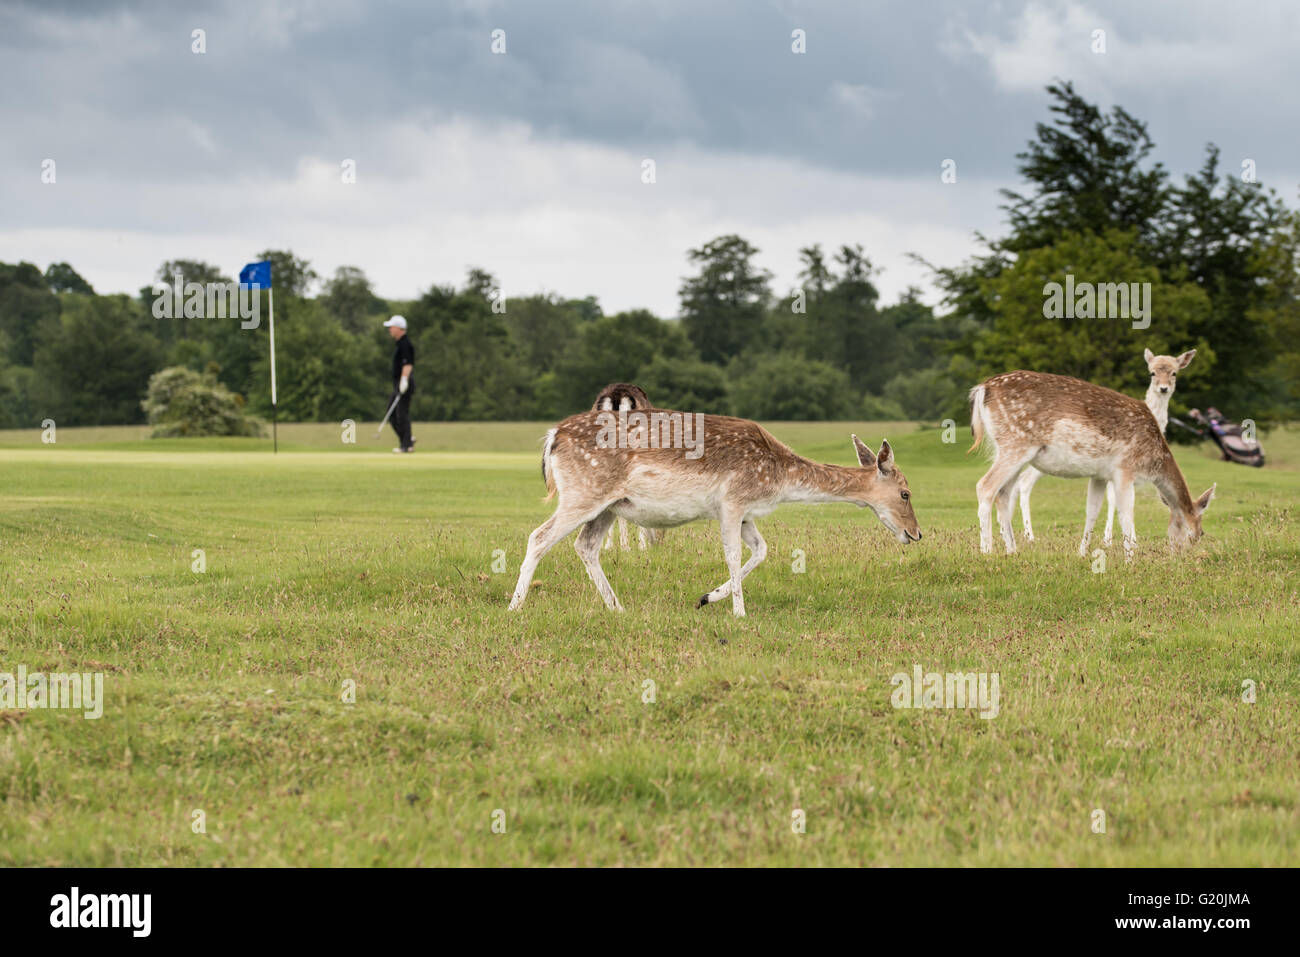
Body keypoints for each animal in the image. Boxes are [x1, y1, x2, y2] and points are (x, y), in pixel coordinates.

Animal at [508, 408, 922, 617]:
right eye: (905, 493)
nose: (916, 533)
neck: (777, 479)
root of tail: (552, 437)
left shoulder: (747, 511)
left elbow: (762, 550)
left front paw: (707, 597)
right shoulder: (732, 501)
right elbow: (734, 554)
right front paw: (739, 613)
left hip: (609, 504)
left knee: (586, 545)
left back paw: (617, 607)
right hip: (583, 492)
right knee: (539, 537)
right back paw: (515, 607)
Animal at [969, 370, 1214, 561]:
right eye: (1199, 532)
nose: (1183, 557)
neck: (1153, 460)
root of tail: (983, 388)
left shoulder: (1100, 475)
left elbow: (1092, 512)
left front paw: (1082, 553)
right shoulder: (1125, 469)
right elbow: (1126, 513)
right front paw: (1131, 558)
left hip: (1007, 449)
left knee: (1003, 493)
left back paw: (1012, 550)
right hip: (1016, 444)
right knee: (985, 486)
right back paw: (986, 551)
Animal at [1014, 349, 1197, 545]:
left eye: (1174, 373)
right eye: (1152, 372)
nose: (1163, 388)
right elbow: (1113, 498)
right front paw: (1111, 539)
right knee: (1024, 481)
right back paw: (1029, 536)